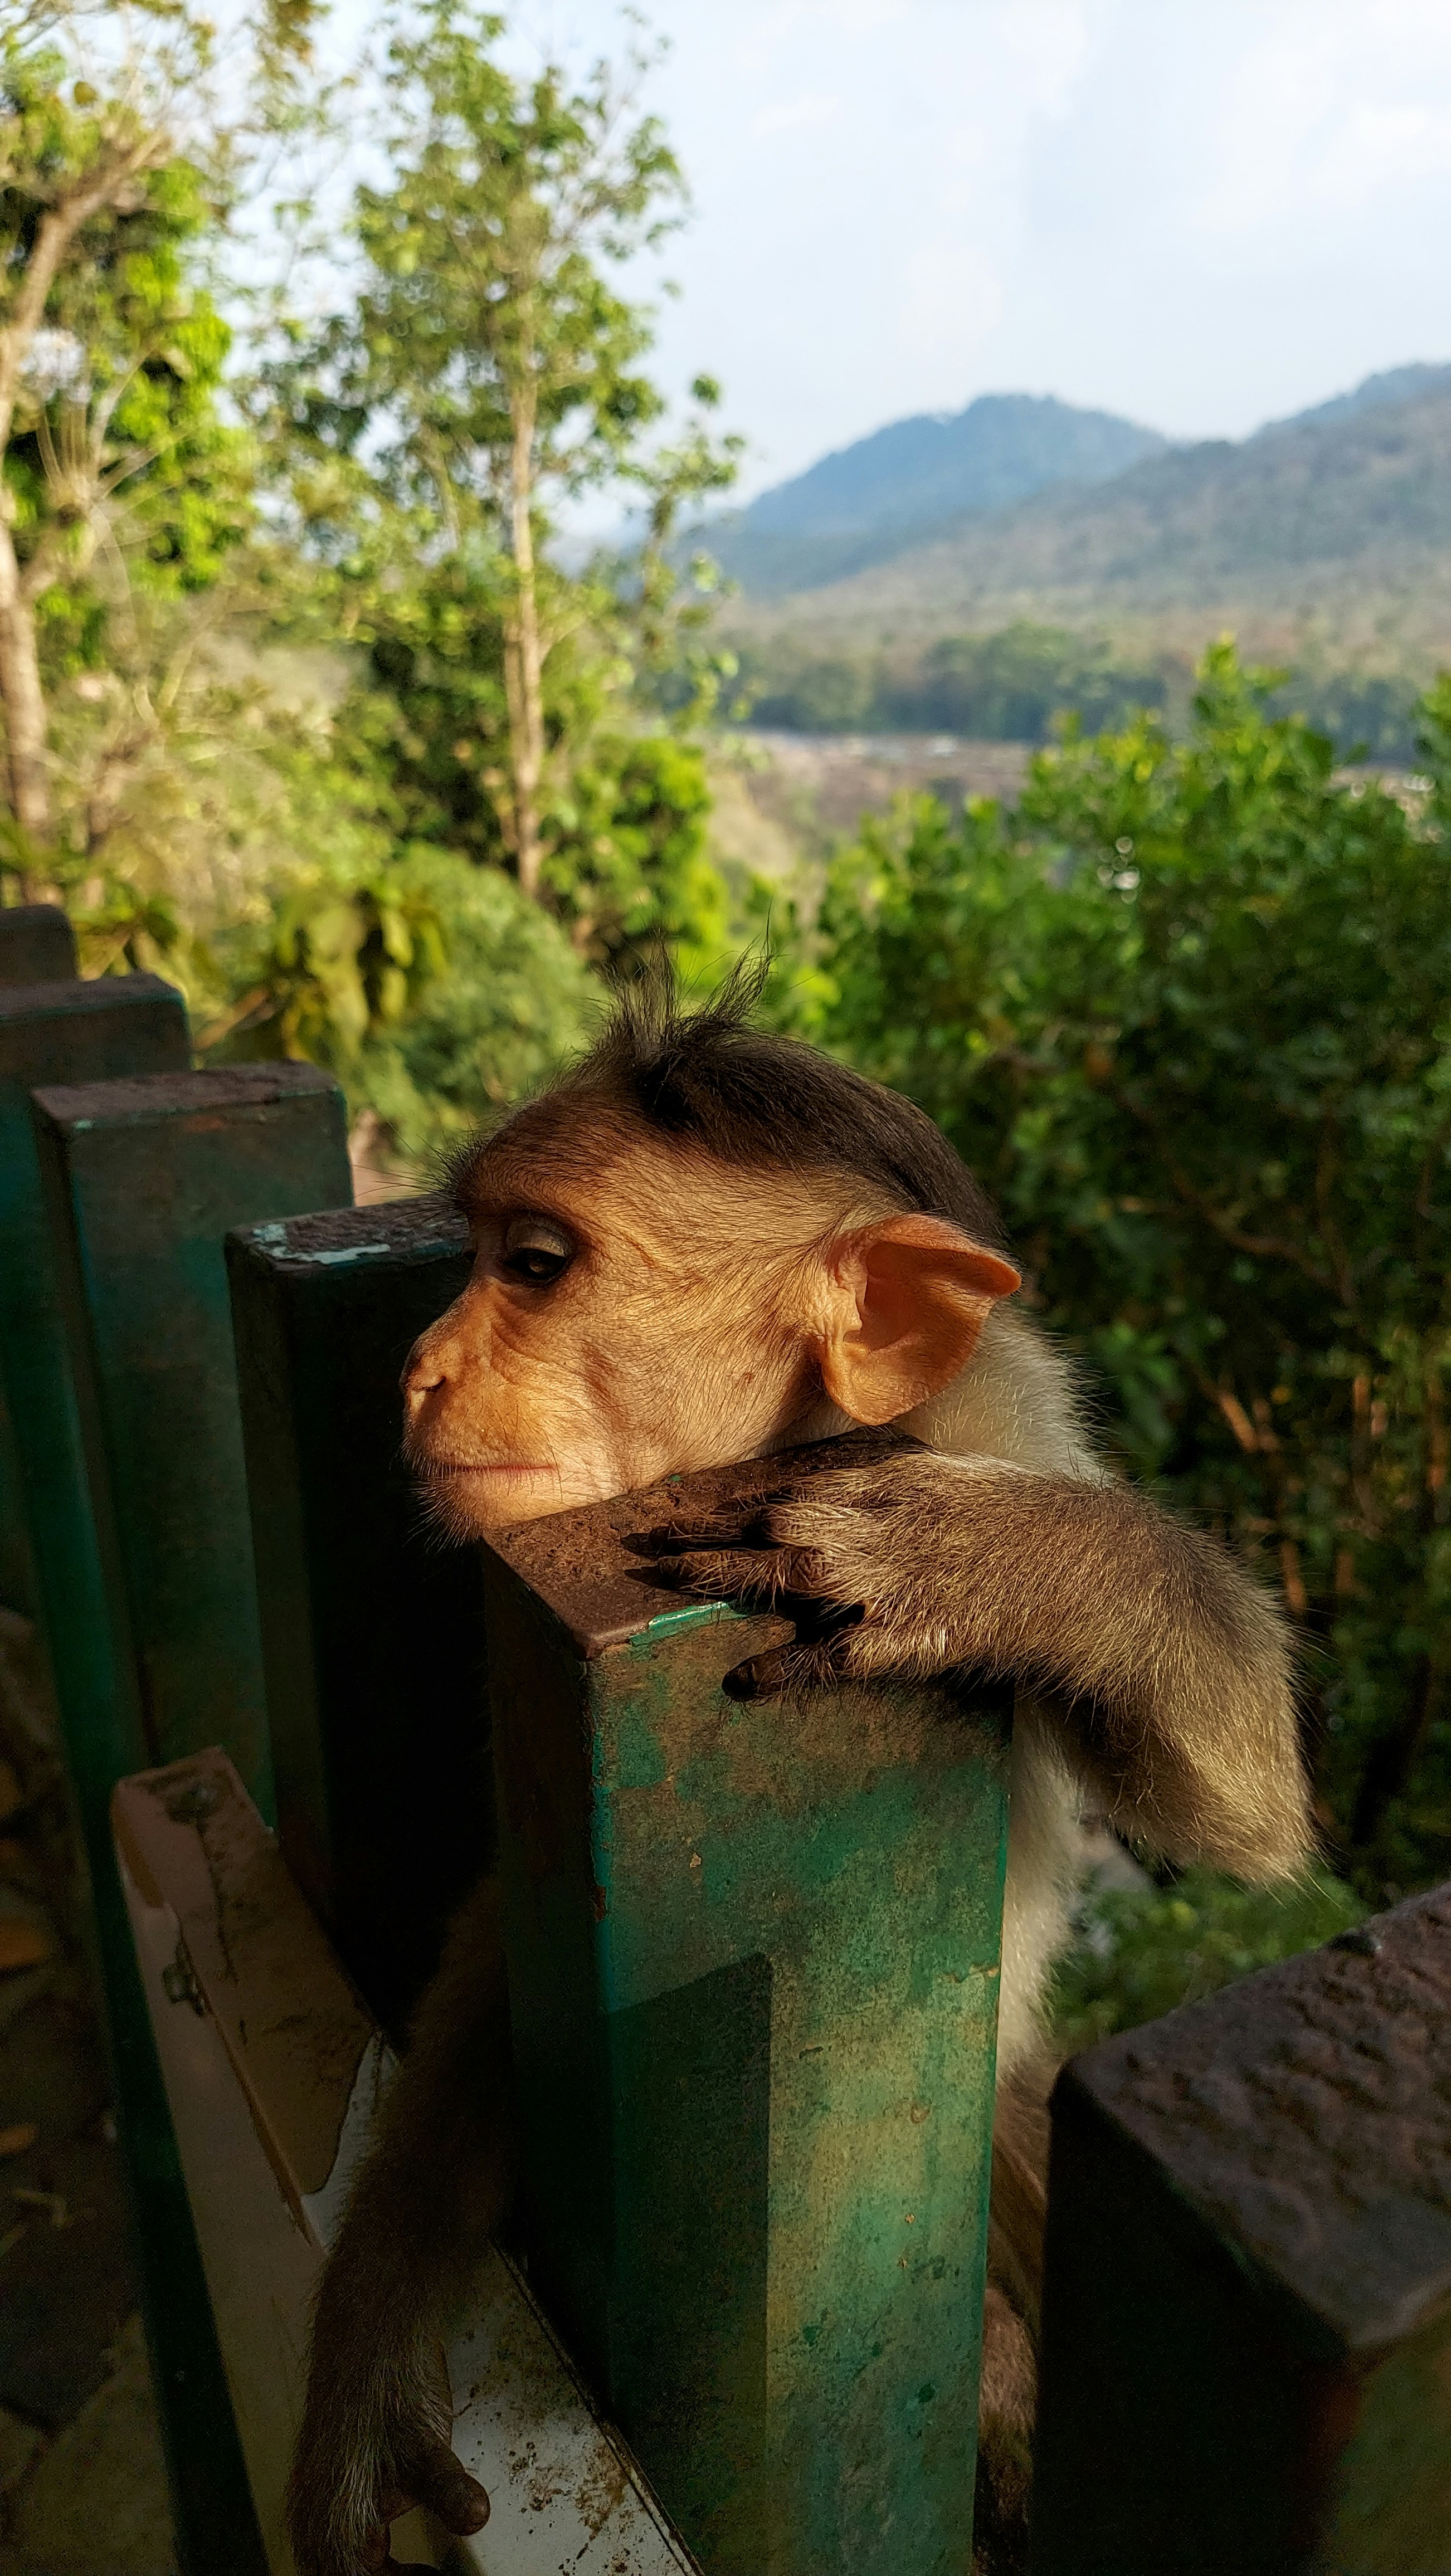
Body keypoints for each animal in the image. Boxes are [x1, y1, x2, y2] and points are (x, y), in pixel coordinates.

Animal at [286, 970, 1310, 2576]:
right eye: (481, 1255)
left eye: (534, 1266)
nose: (420, 1367)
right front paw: (381, 2310)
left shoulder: (996, 1427)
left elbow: (1239, 1799)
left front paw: (969, 1556)